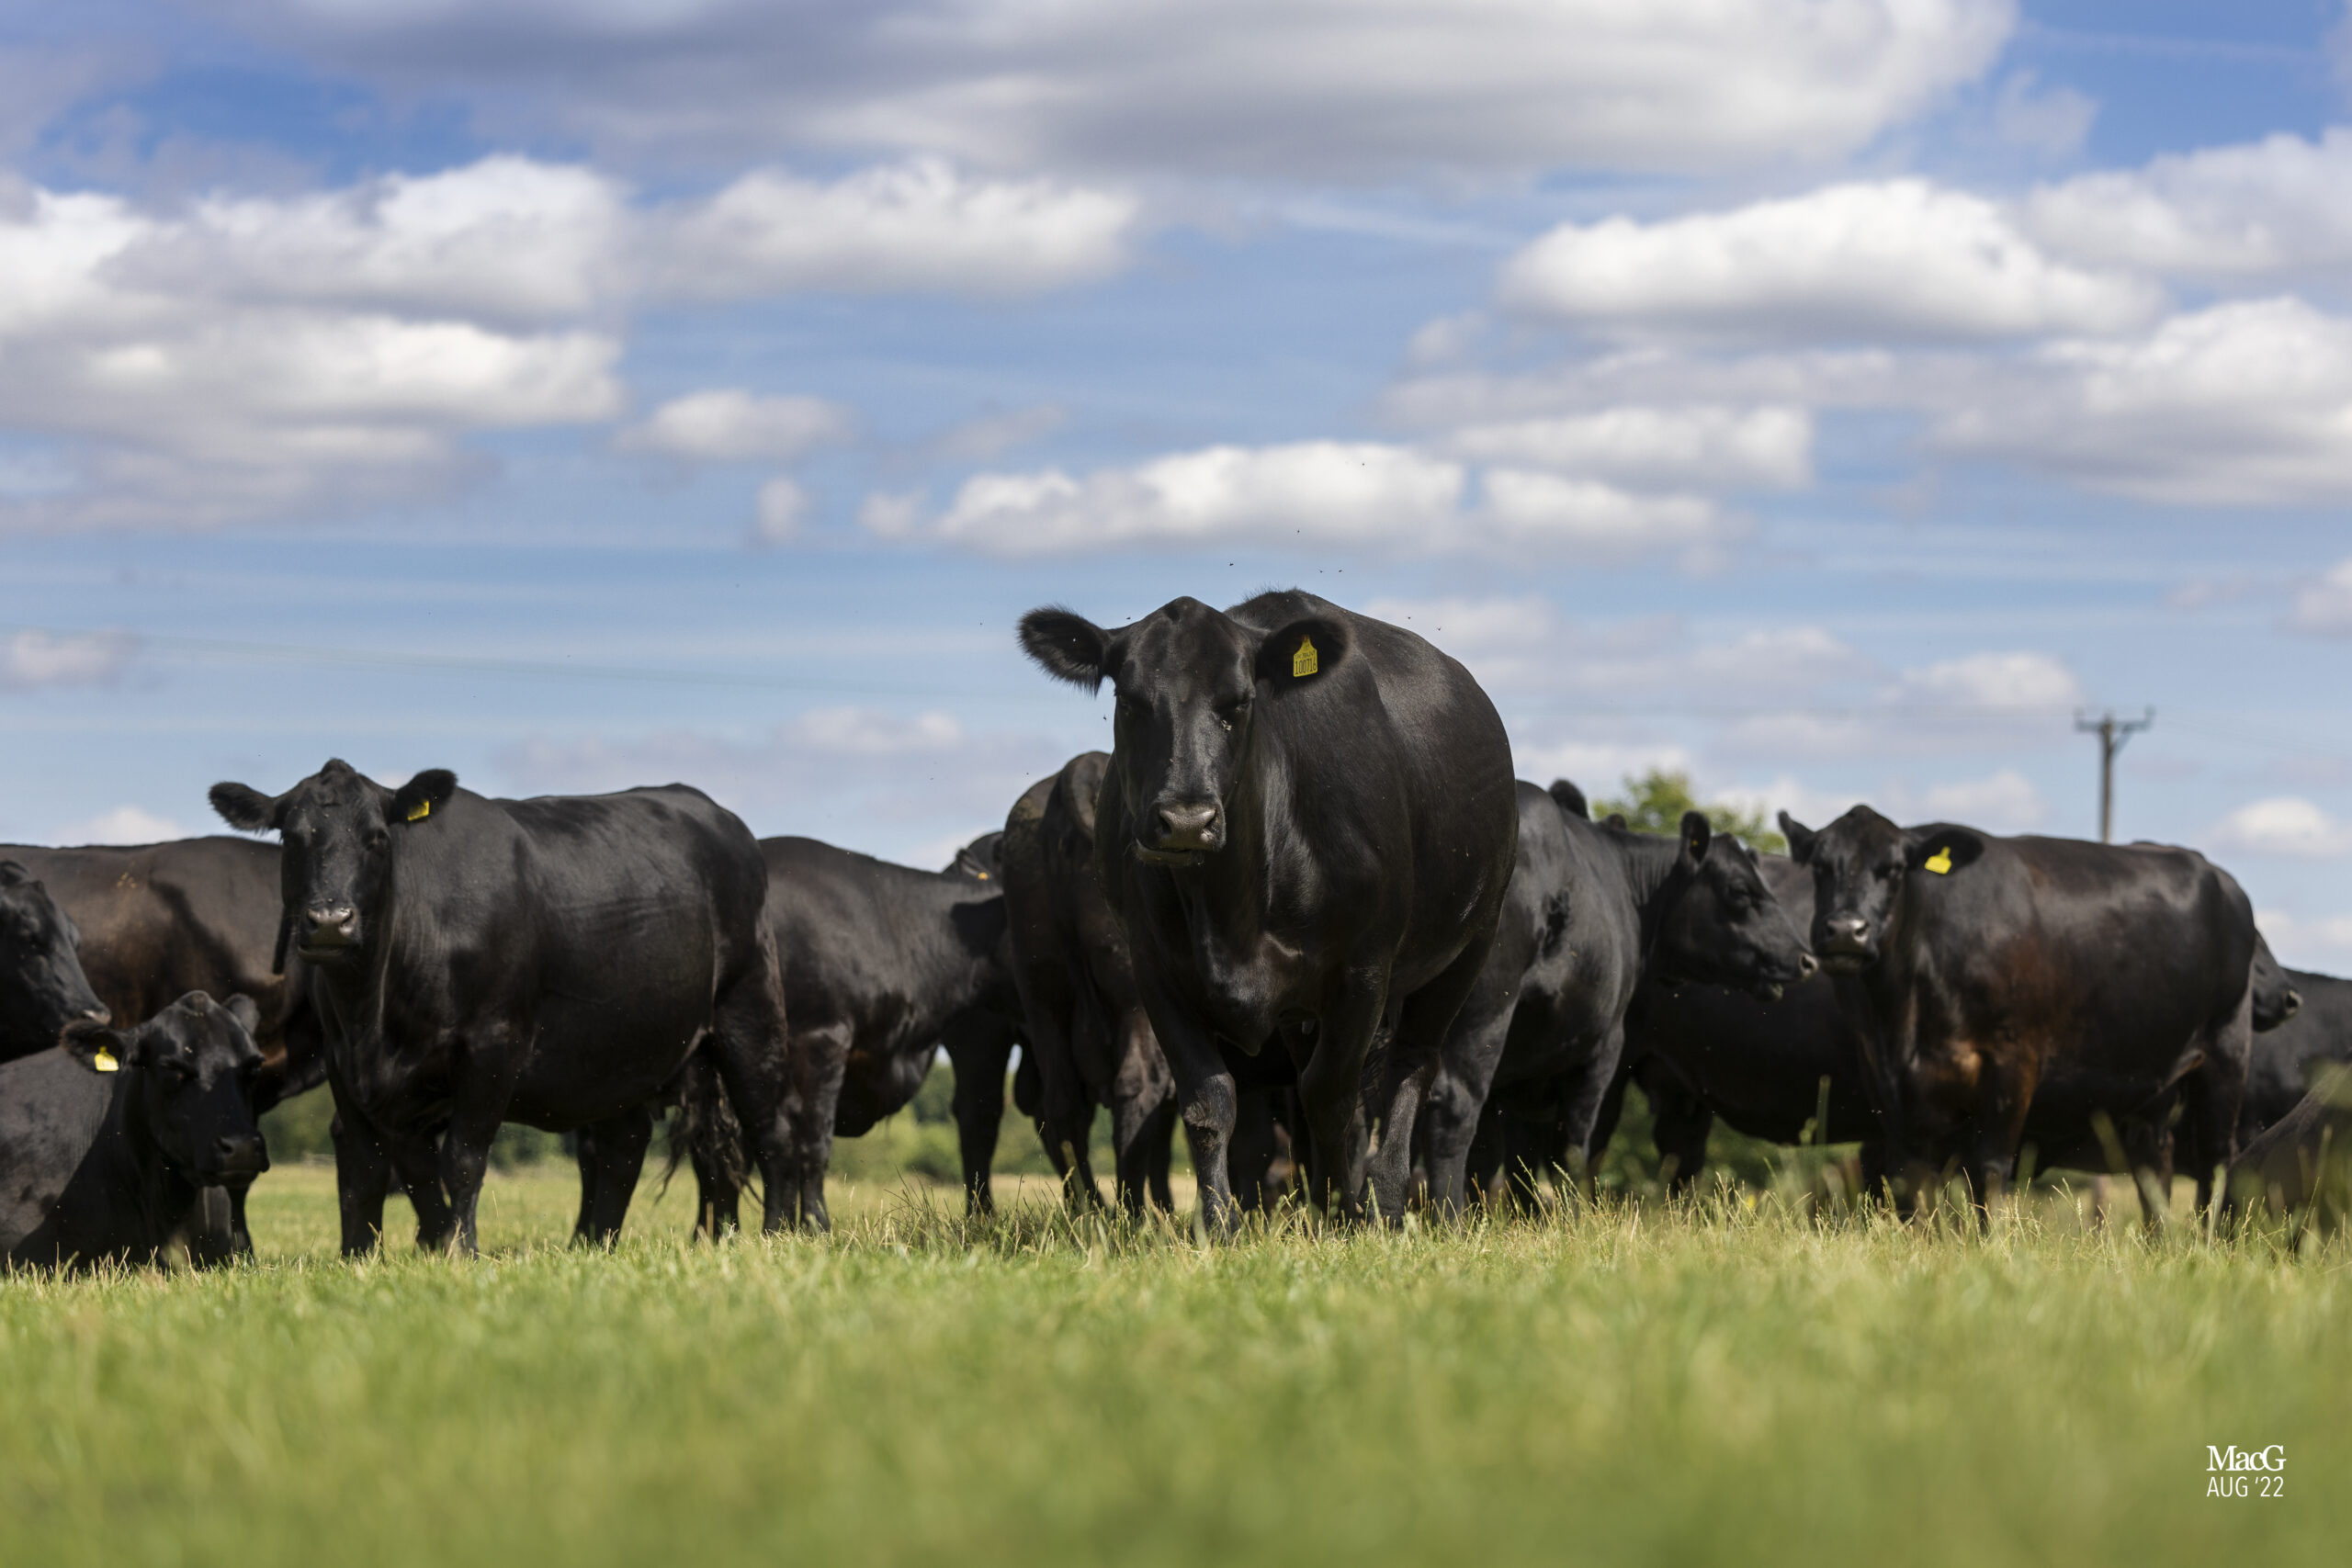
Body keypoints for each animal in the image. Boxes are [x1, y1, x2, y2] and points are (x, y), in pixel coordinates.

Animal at [209, 760, 794, 1253]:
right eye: (291, 837)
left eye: (377, 838)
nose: (331, 921)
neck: (372, 1013)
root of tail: (712, 810)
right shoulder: (347, 1065)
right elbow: (390, 1168)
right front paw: (401, 1249)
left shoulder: (494, 1045)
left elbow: (461, 1159)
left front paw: (459, 1251)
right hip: (617, 1048)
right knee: (626, 1145)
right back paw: (597, 1245)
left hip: (749, 1014)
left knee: (769, 1129)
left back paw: (778, 1235)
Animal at [1018, 591, 1519, 1226]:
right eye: (1128, 702)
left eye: (1240, 702)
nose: (1186, 819)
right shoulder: (1157, 974)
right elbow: (1209, 1103)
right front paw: (1221, 1227)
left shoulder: (1363, 970)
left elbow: (1330, 1097)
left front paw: (1343, 1219)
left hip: (1469, 946)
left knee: (1412, 1068)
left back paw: (1381, 1201)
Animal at [1429, 781, 1816, 1213]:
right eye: (1740, 890)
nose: (1805, 959)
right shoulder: (1603, 1046)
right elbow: (1572, 1147)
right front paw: (1570, 1214)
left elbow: (1501, 1157)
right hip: (1490, 1007)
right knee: (1455, 1103)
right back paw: (1447, 1216)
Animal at [1781, 806, 2258, 1220]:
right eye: (1819, 866)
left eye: (1895, 869)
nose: (1846, 931)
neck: (1906, 1015)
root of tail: (2221, 878)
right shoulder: (1883, 1076)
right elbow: (1907, 1182)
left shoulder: (2013, 1061)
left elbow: (1990, 1170)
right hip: (2153, 1077)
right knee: (2153, 1167)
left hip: (2226, 1051)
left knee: (2216, 1160)